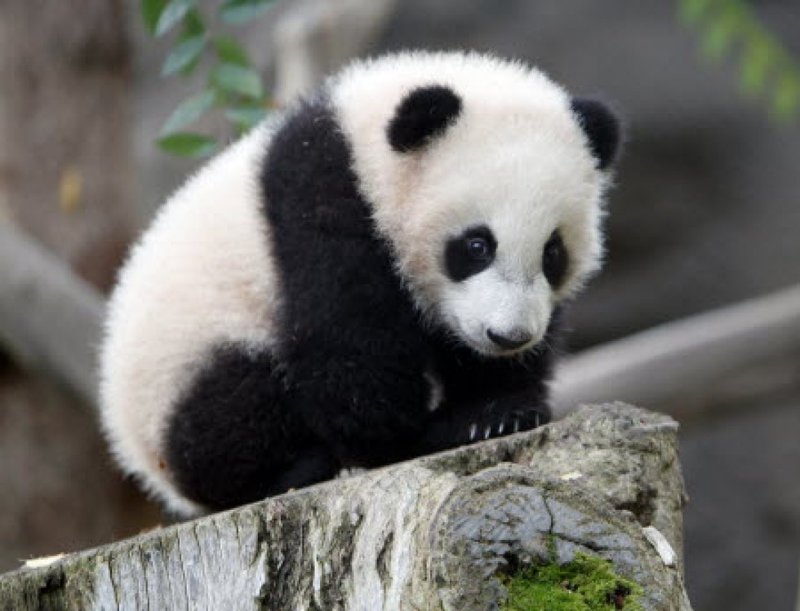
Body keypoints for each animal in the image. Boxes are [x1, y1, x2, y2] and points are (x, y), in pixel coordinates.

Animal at [100, 50, 620, 517]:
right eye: (476, 245)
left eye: (553, 253)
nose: (508, 337)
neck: (360, 144)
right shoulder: (321, 206)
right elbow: (349, 352)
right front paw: (422, 432)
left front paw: (495, 411)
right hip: (181, 364)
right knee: (228, 412)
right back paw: (297, 468)